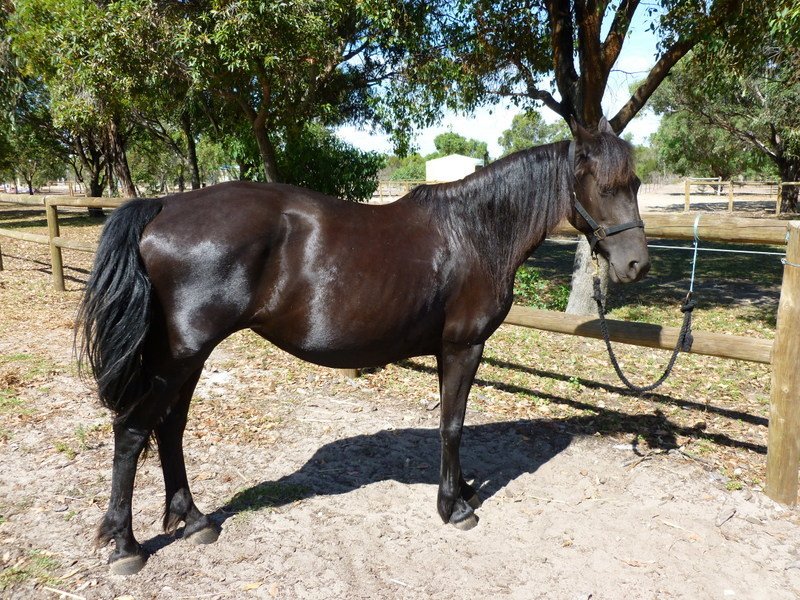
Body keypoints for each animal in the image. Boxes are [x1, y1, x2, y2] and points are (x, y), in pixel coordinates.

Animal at [76, 118, 649, 575]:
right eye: (602, 185)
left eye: (636, 183)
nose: (636, 265)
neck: (475, 231)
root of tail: (161, 207)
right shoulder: (463, 347)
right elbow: (452, 425)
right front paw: (455, 507)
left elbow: (452, 424)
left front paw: (462, 490)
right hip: (179, 357)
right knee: (132, 430)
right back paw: (125, 545)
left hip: (188, 357)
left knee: (169, 428)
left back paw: (194, 521)